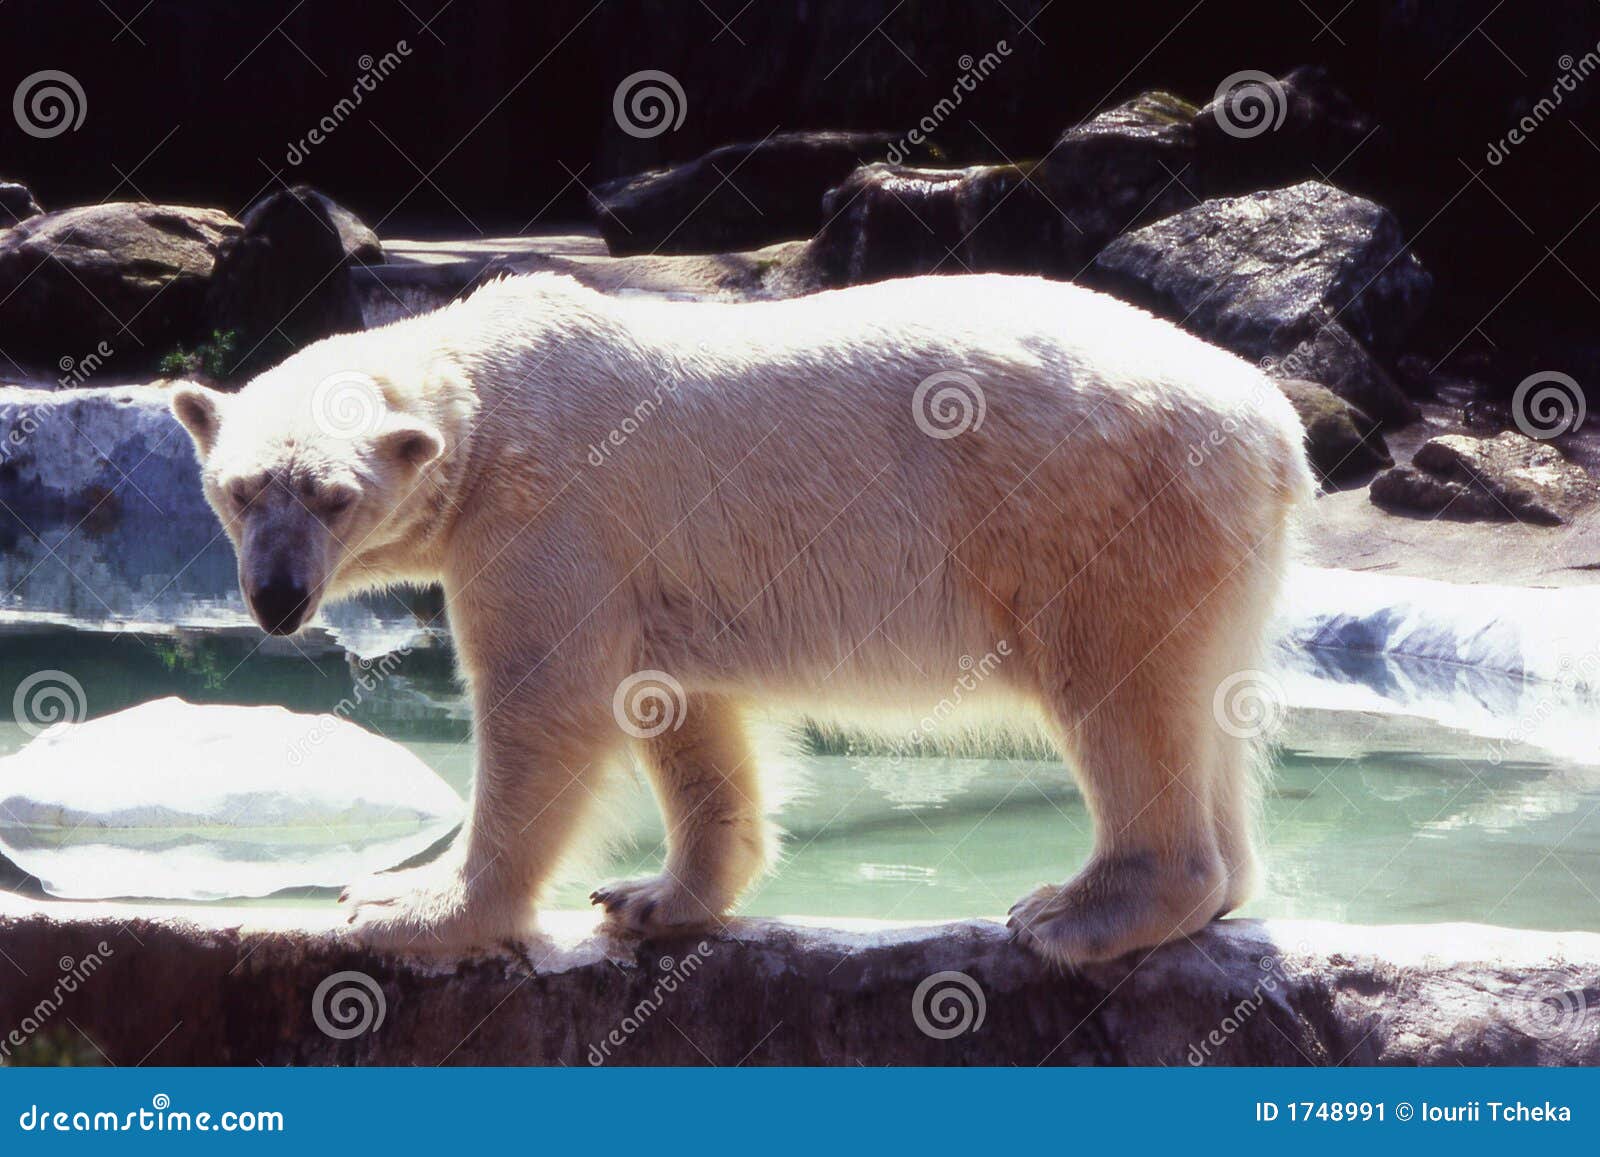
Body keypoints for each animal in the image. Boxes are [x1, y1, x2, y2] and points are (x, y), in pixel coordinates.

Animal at [170, 272, 1313, 966]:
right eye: (238, 489)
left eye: (332, 497)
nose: (277, 597)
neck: (493, 390)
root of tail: (1274, 422)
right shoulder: (654, 569)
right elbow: (683, 711)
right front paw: (651, 895)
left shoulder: (549, 510)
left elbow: (545, 699)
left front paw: (406, 905)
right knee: (1201, 698)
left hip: (1102, 504)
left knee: (1119, 687)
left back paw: (1076, 911)